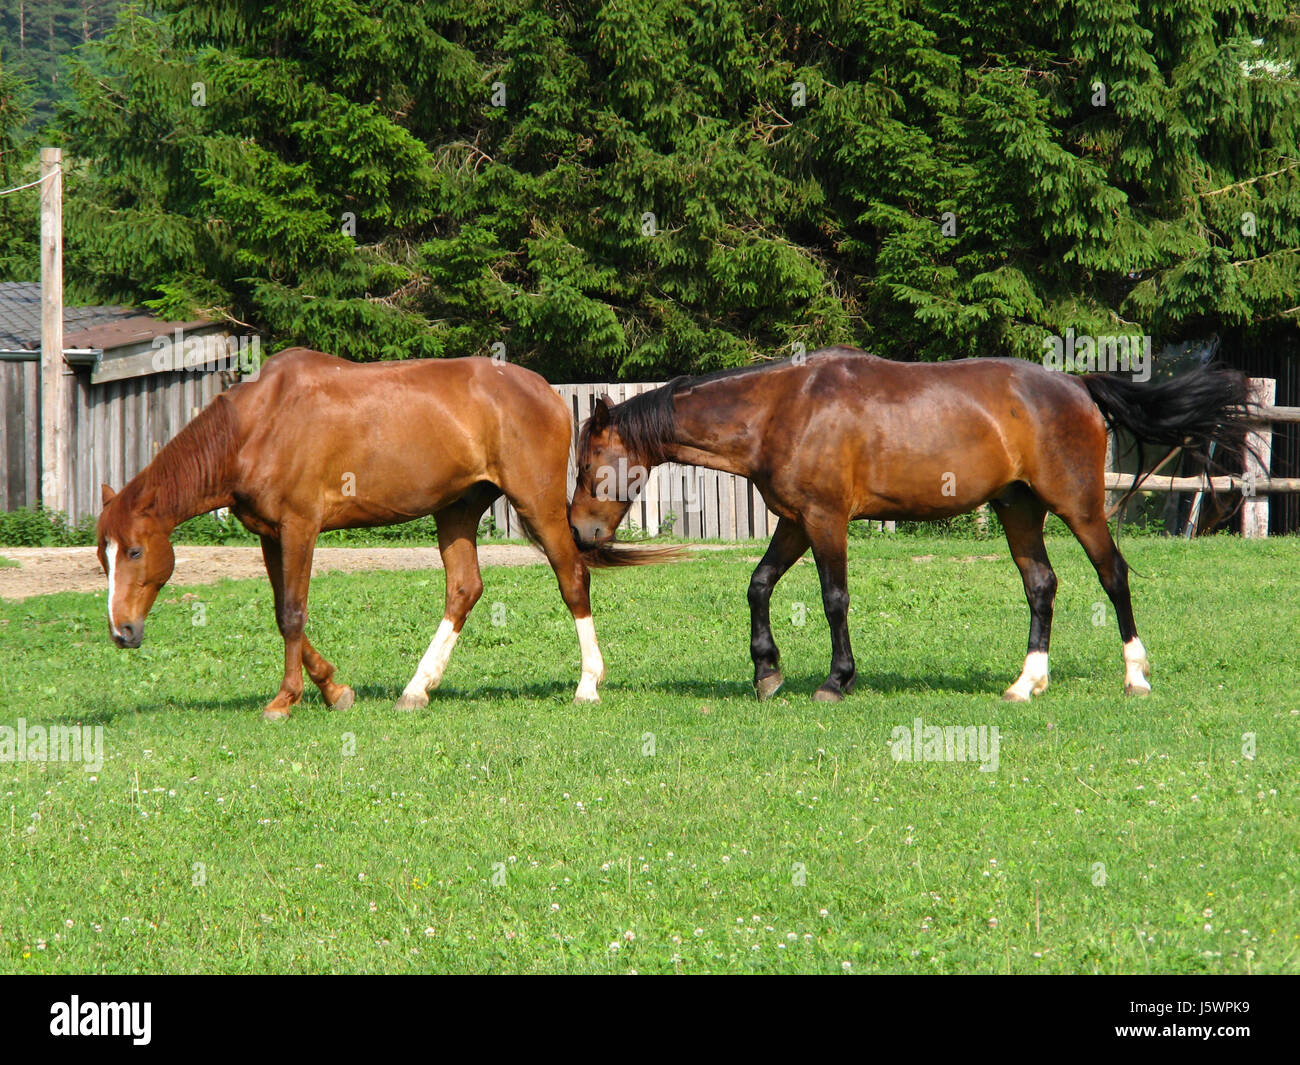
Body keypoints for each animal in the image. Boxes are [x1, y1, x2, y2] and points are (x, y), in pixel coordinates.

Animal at [96, 347, 655, 720]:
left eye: (135, 550)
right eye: (103, 559)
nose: (121, 632)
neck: (259, 423)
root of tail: (547, 393)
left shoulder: (300, 527)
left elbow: (293, 613)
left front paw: (286, 699)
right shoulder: (270, 535)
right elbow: (283, 614)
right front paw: (333, 689)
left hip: (537, 504)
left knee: (573, 578)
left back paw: (588, 684)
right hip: (456, 510)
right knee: (464, 589)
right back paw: (417, 688)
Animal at [568, 346, 1251, 702]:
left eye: (588, 463)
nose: (580, 534)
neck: (782, 409)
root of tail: (1076, 385)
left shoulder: (825, 520)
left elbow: (834, 598)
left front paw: (837, 680)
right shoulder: (795, 520)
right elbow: (758, 585)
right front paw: (767, 672)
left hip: (1077, 506)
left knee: (1114, 576)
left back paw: (1136, 675)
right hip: (1019, 508)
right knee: (1041, 586)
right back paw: (1027, 682)